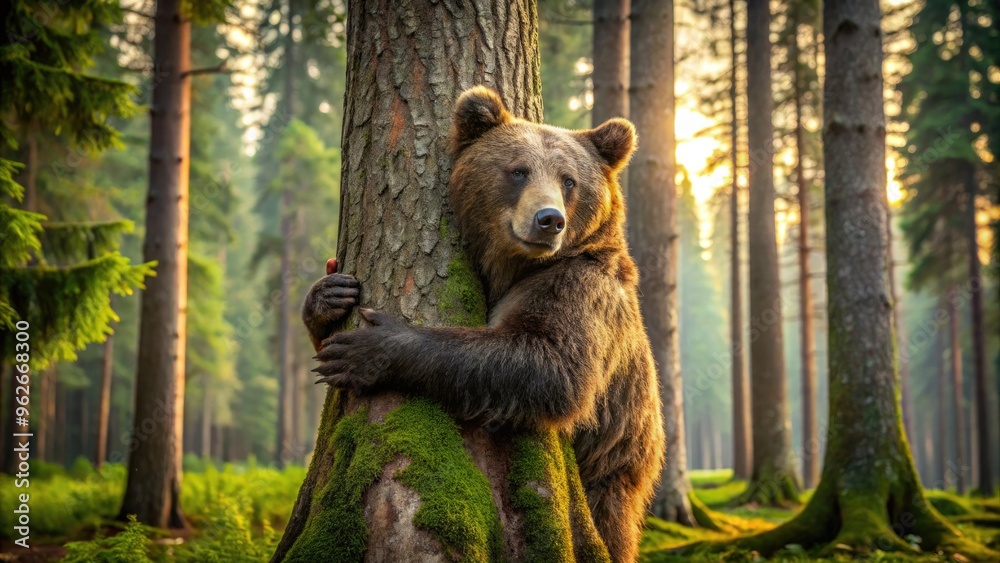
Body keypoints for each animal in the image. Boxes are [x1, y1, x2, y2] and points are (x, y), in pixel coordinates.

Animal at [302, 86, 665, 562]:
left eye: (569, 180)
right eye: (518, 170)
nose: (549, 219)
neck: (514, 267)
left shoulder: (582, 290)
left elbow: (551, 365)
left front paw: (372, 347)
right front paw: (327, 294)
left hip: (611, 469)